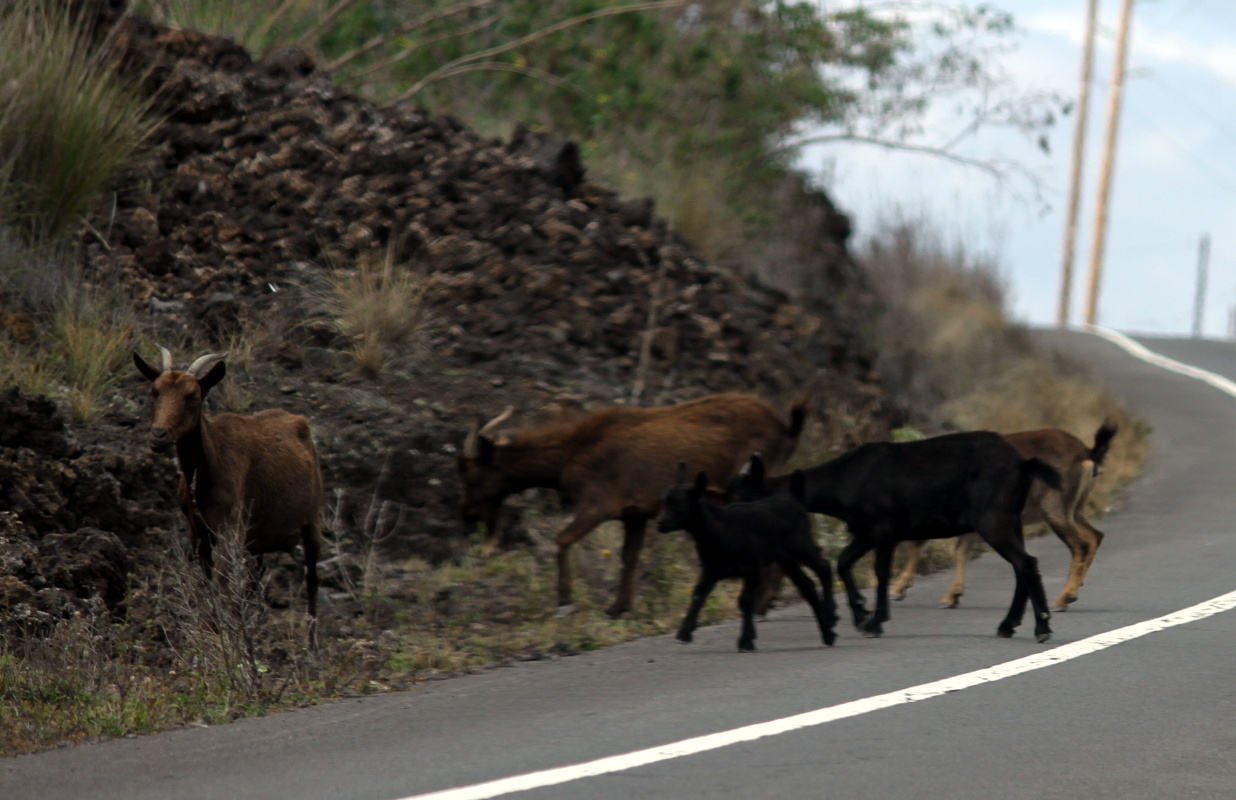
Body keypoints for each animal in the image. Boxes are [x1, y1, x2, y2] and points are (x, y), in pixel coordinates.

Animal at [134, 347, 324, 625]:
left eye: (194, 397)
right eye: (153, 392)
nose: (159, 435)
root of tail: (300, 422)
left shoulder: (229, 529)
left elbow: (221, 587)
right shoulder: (198, 532)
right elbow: (207, 584)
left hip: (312, 522)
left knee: (312, 585)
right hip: (257, 539)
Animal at [457, 393, 807, 618]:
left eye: (471, 475)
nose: (467, 516)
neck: (564, 461)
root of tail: (788, 430)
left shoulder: (598, 503)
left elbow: (562, 539)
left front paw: (565, 600)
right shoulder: (635, 513)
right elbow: (629, 557)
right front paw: (618, 607)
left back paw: (761, 602)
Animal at [656, 463, 837, 652]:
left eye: (679, 503)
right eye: (664, 501)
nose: (660, 523)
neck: (718, 529)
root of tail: (797, 501)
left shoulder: (751, 568)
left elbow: (744, 601)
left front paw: (746, 640)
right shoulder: (711, 569)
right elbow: (698, 594)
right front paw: (684, 633)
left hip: (801, 545)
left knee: (824, 567)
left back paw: (830, 616)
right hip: (786, 558)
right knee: (807, 586)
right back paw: (827, 633)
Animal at [731, 433, 1062, 642]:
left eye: (745, 494)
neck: (841, 484)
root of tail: (1024, 464)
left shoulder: (884, 528)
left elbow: (880, 572)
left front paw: (874, 621)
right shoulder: (866, 530)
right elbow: (843, 562)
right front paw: (861, 614)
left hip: (993, 518)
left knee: (1026, 563)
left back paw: (1042, 627)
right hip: (1012, 518)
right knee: (1021, 566)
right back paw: (1008, 625)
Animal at [891, 422, 1117, 610]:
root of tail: (1086, 452)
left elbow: (920, 544)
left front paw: (897, 590)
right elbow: (961, 551)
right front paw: (952, 596)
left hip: (1054, 508)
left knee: (1080, 544)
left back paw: (1064, 599)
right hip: (1074, 509)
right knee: (1095, 535)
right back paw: (1075, 590)